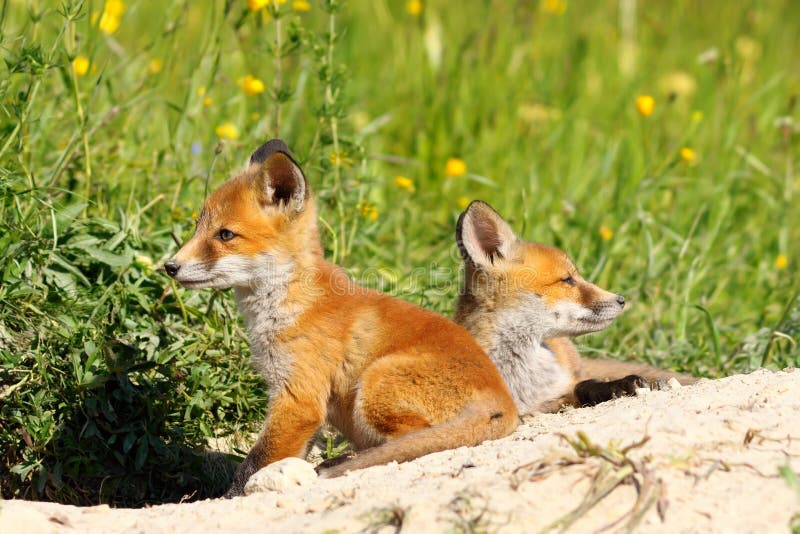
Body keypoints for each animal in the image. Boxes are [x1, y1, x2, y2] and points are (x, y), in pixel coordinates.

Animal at [164, 140, 518, 496]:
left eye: (225, 235)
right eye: (197, 227)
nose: (170, 266)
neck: (289, 304)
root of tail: (505, 399)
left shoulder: (299, 398)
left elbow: (253, 463)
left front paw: (234, 495)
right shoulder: (302, 405)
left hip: (375, 384)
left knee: (412, 440)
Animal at [453, 200, 697, 416]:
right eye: (568, 280)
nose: (621, 300)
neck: (524, 380)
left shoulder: (563, 389)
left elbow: (584, 385)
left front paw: (616, 385)